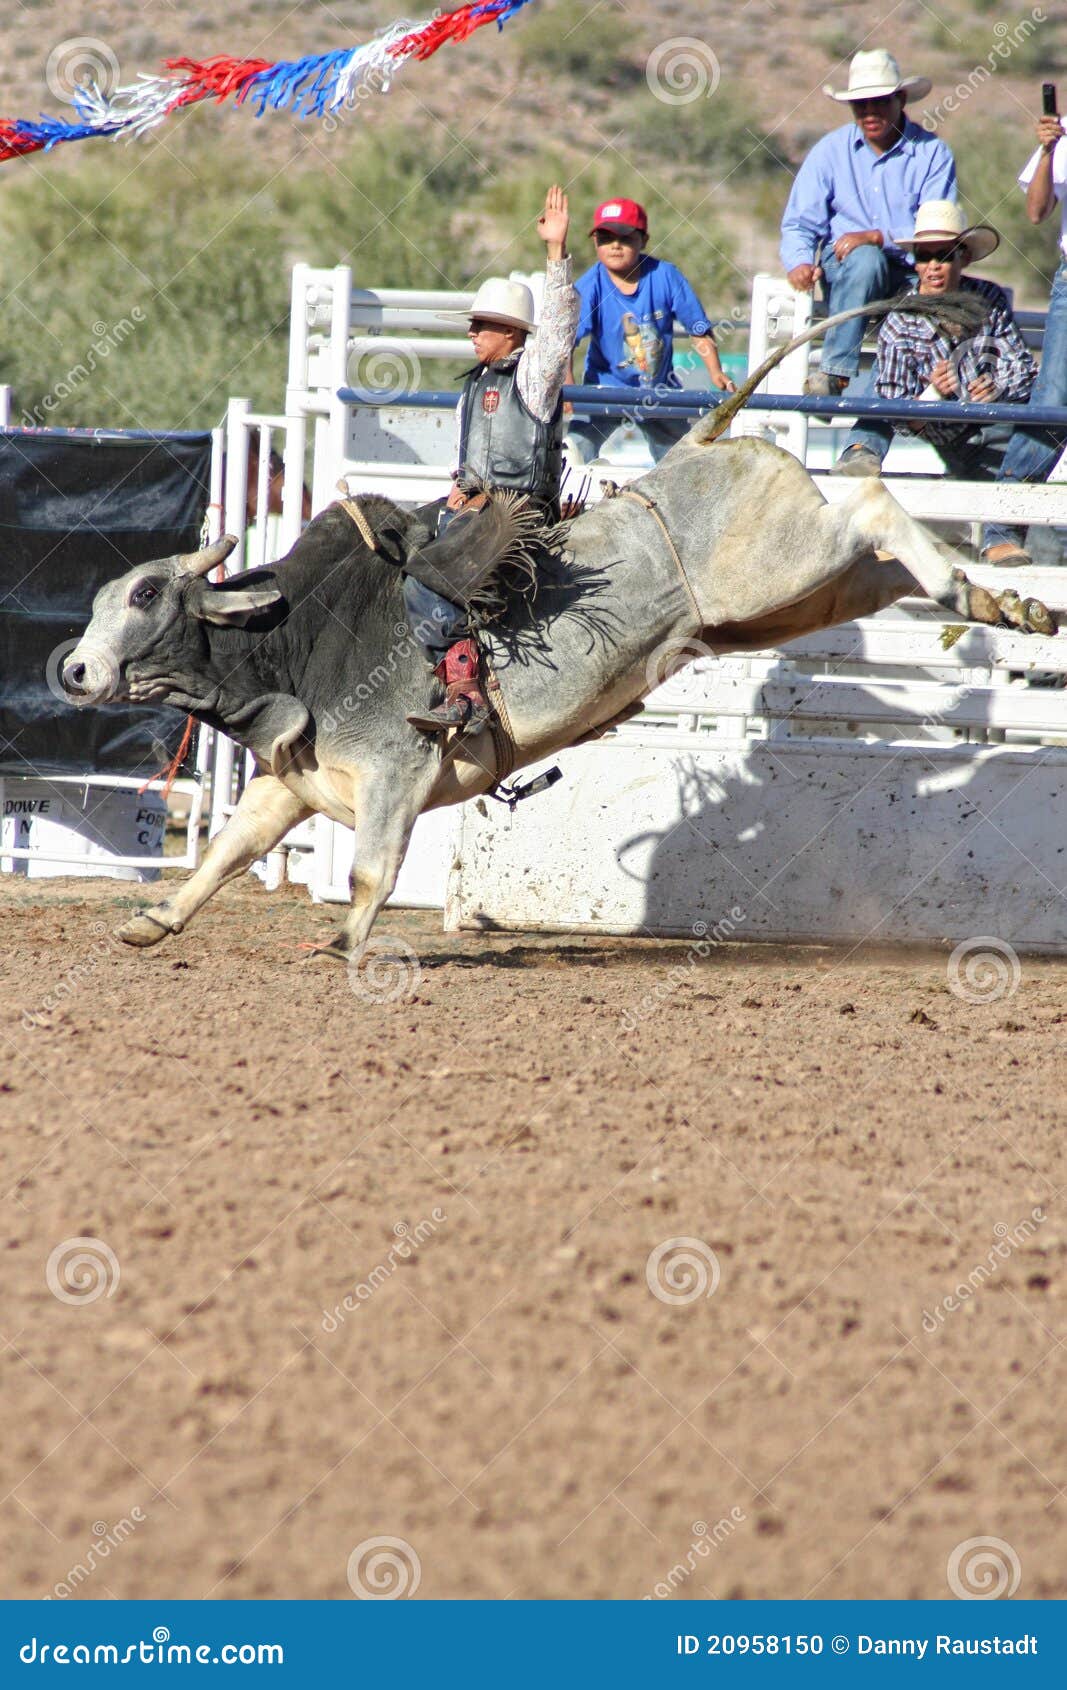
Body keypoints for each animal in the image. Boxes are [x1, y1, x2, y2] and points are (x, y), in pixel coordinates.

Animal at [60, 410, 1055, 962]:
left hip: (779, 567)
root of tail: (708, 446)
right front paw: (154, 920)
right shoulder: (295, 781)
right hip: (787, 598)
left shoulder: (393, 776)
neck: (300, 642)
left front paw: (341, 942)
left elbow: (373, 868)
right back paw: (996, 601)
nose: (73, 669)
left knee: (869, 500)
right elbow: (228, 850)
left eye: (144, 595)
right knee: (884, 561)